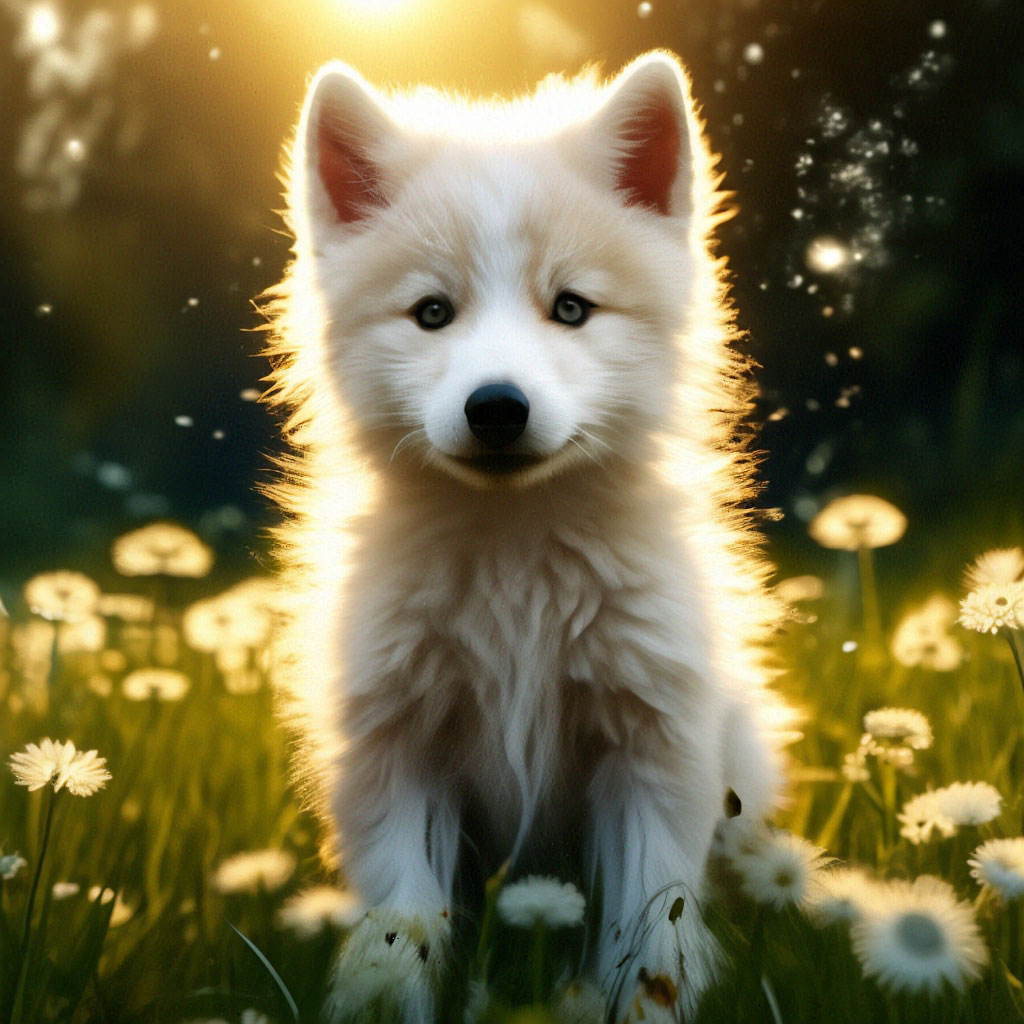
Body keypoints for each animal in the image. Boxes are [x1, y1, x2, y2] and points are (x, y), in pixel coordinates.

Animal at [263, 50, 793, 1023]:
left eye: (572, 309)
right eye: (432, 314)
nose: (497, 408)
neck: (514, 566)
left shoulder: (652, 755)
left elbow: (648, 944)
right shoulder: (395, 758)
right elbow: (402, 935)